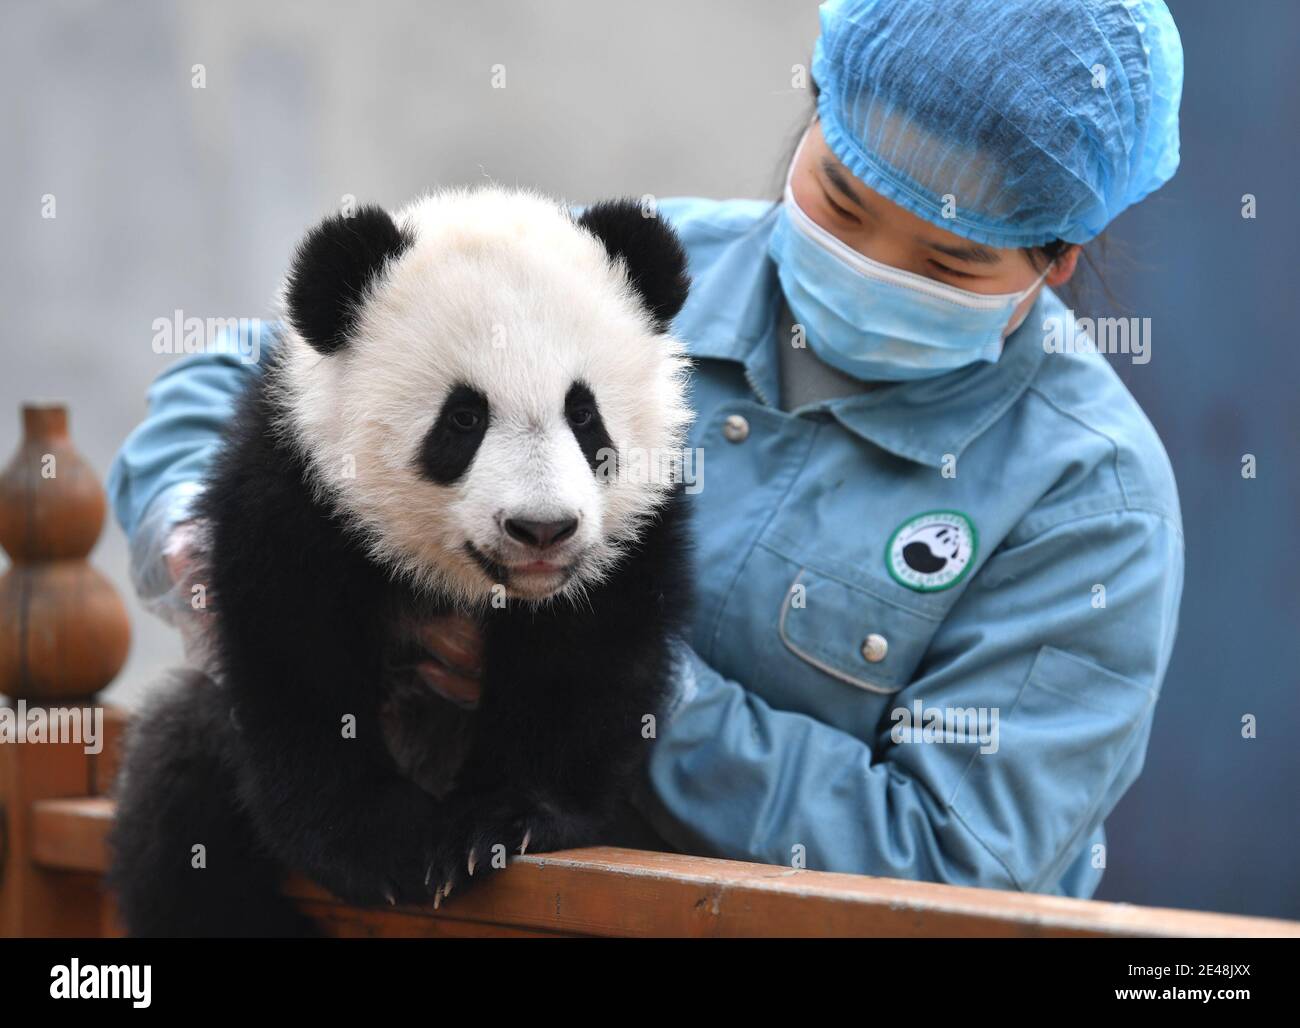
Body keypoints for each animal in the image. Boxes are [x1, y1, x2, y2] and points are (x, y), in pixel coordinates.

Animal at [108, 187, 695, 936]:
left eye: (584, 414)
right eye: (463, 419)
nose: (542, 530)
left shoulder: (629, 541)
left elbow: (583, 672)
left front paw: (501, 822)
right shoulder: (299, 489)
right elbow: (299, 661)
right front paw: (384, 846)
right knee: (179, 807)